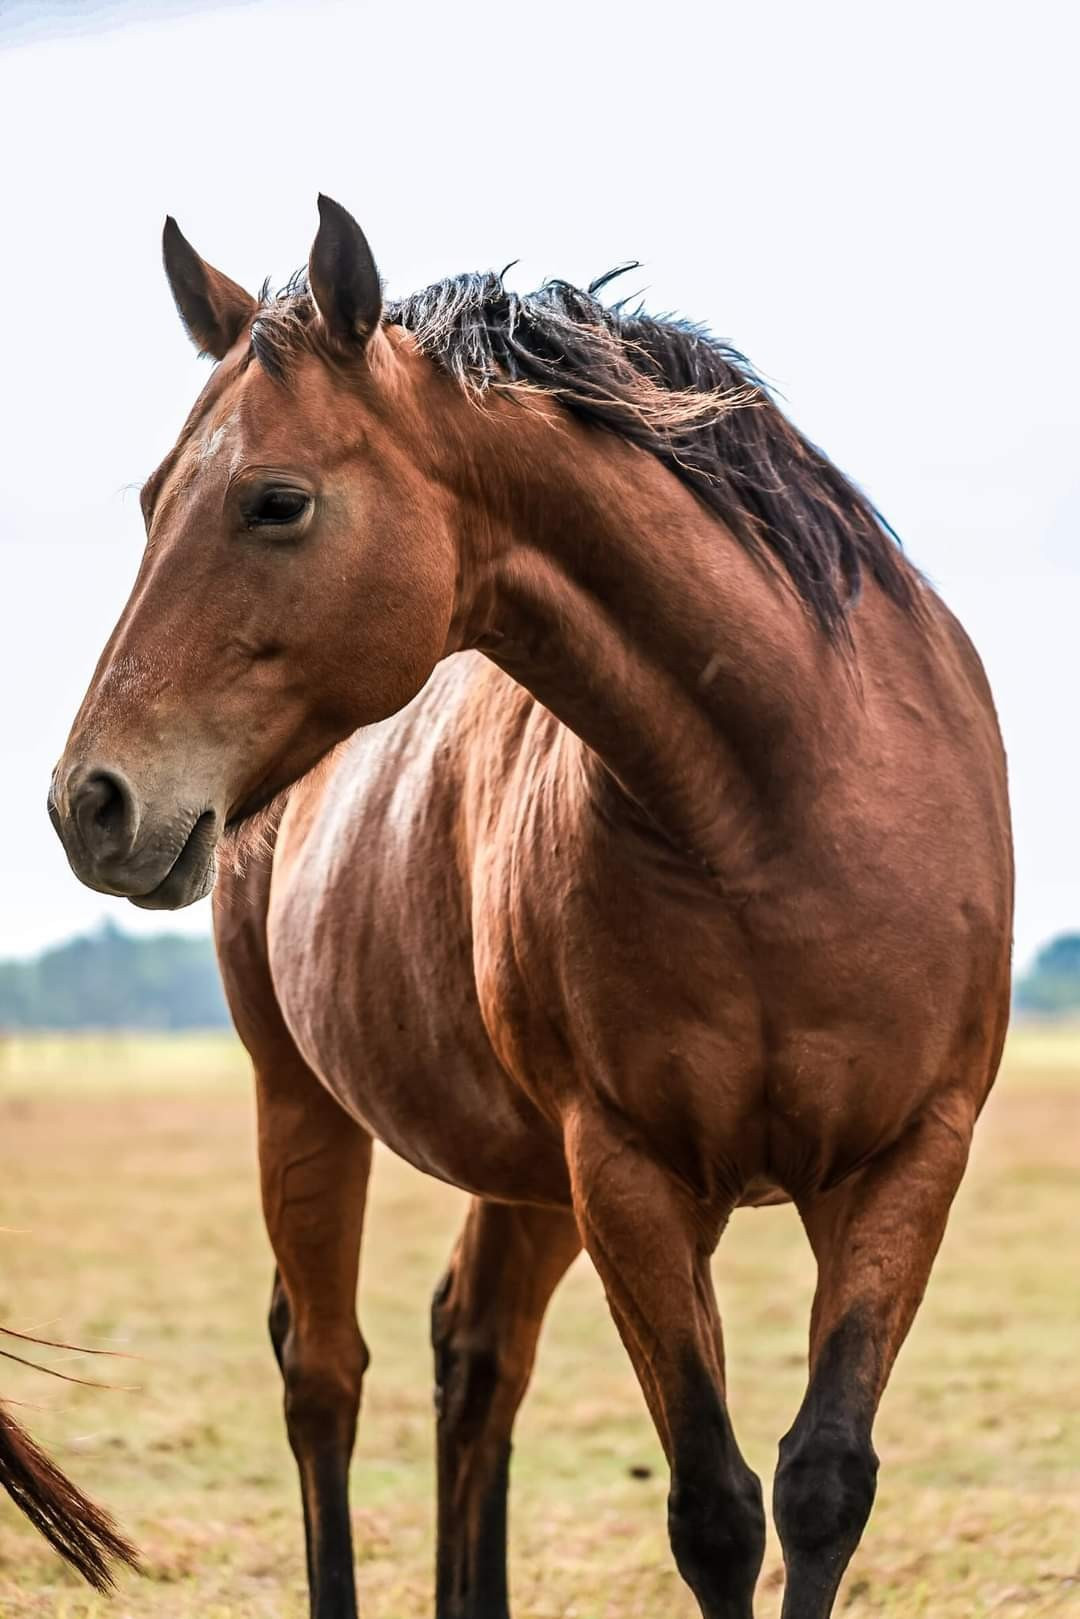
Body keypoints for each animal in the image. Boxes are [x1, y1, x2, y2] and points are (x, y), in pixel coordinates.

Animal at [49, 196, 1013, 1619]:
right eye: (151, 499)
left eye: (275, 501)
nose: (91, 801)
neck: (782, 805)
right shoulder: (627, 1171)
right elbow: (716, 1507)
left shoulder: (908, 1157)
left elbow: (822, 1482)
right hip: (307, 1105)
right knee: (324, 1375)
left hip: (525, 1179)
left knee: (476, 1356)